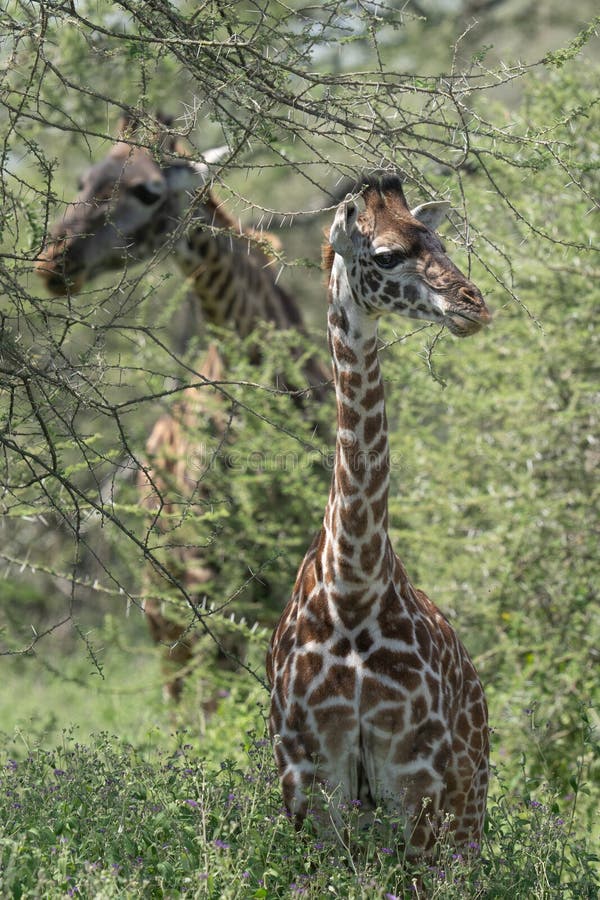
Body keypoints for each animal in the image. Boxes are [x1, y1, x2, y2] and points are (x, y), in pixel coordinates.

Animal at [267, 174, 491, 854]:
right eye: (387, 256)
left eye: (440, 242)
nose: (475, 304)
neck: (353, 591)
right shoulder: (307, 771)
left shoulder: (416, 773)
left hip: (467, 808)